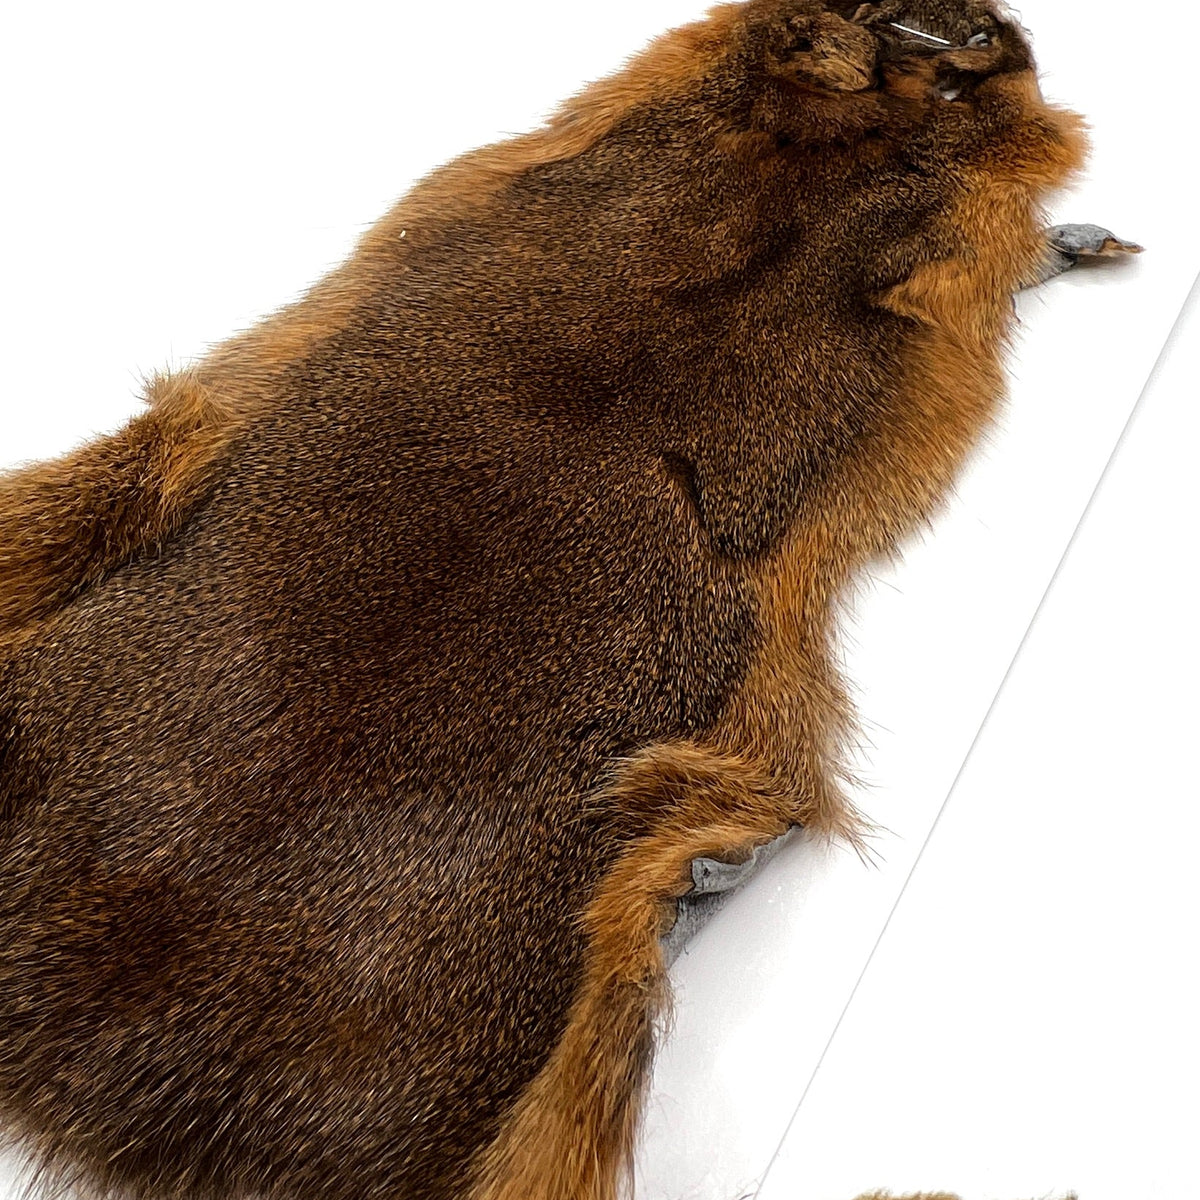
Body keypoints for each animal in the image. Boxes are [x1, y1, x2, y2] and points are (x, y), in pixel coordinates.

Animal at [0, 2, 1138, 1199]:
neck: (829, 151)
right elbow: (1000, 258)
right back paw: (706, 877)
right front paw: (1084, 240)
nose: (996, 30)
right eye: (964, 61)